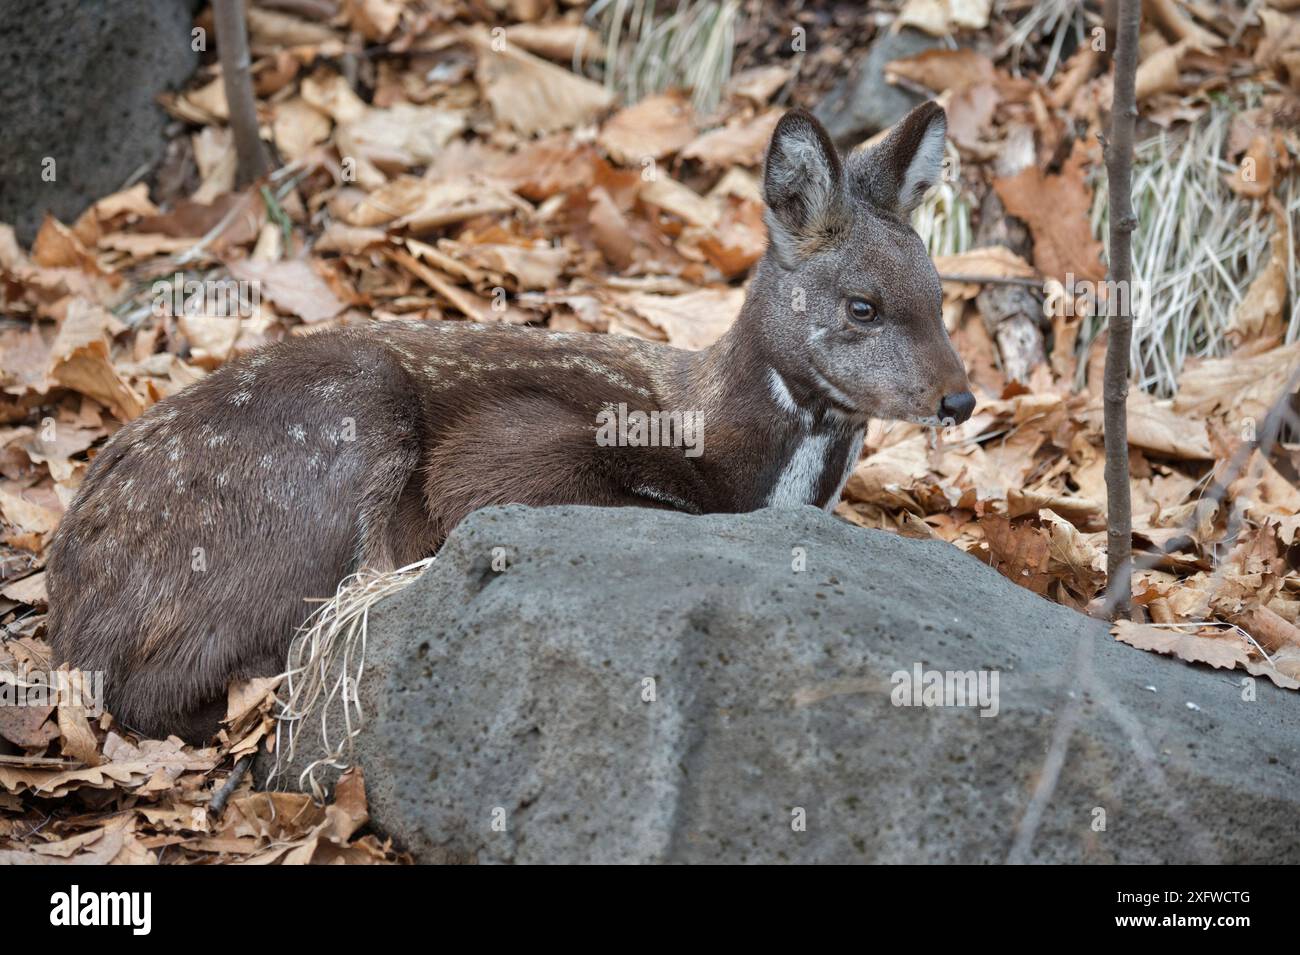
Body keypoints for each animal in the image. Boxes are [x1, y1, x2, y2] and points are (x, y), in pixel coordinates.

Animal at [46, 102, 973, 742]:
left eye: (940, 295)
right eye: (862, 305)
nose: (958, 399)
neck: (737, 457)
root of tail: (68, 612)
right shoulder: (510, 451)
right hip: (349, 417)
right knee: (172, 681)